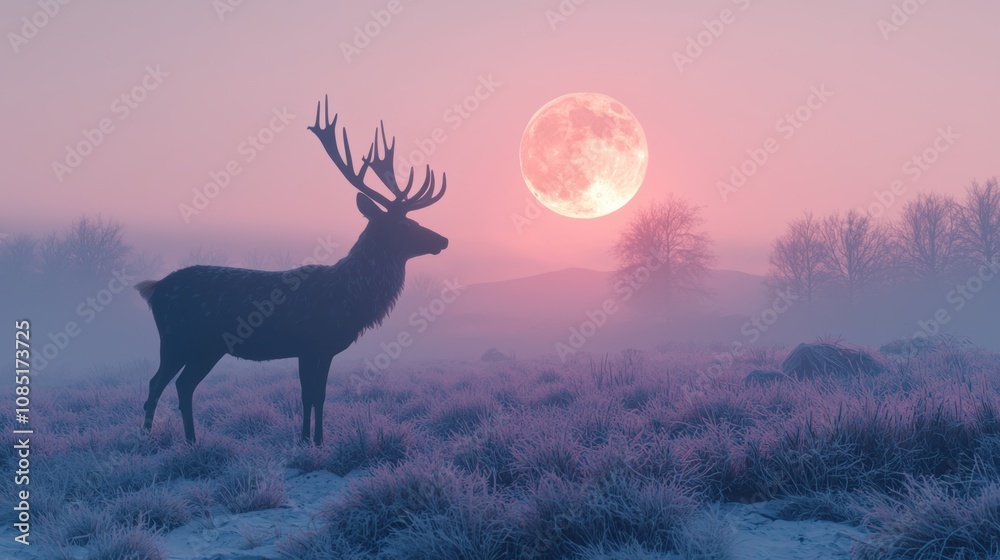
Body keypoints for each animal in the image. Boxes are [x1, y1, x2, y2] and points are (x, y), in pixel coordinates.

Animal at [136, 96, 448, 445]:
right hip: (177, 337)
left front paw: (312, 440)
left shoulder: (323, 348)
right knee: (157, 383)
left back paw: (191, 441)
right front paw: (312, 441)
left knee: (182, 384)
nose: (443, 239)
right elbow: (310, 395)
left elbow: (317, 395)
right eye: (404, 224)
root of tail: (154, 289)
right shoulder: (310, 341)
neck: (349, 300)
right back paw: (149, 439)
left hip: (206, 347)